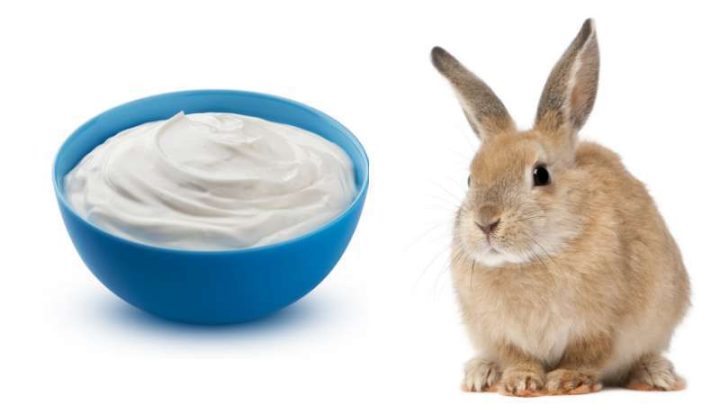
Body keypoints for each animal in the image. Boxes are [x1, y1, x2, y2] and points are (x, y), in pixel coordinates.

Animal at [431, 19, 690, 396]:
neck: (533, 259)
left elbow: (586, 356)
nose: (486, 222)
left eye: (540, 174)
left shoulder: (601, 327)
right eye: (470, 179)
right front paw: (520, 381)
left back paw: (657, 376)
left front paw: (567, 380)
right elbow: (518, 357)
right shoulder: (502, 334)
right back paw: (481, 374)